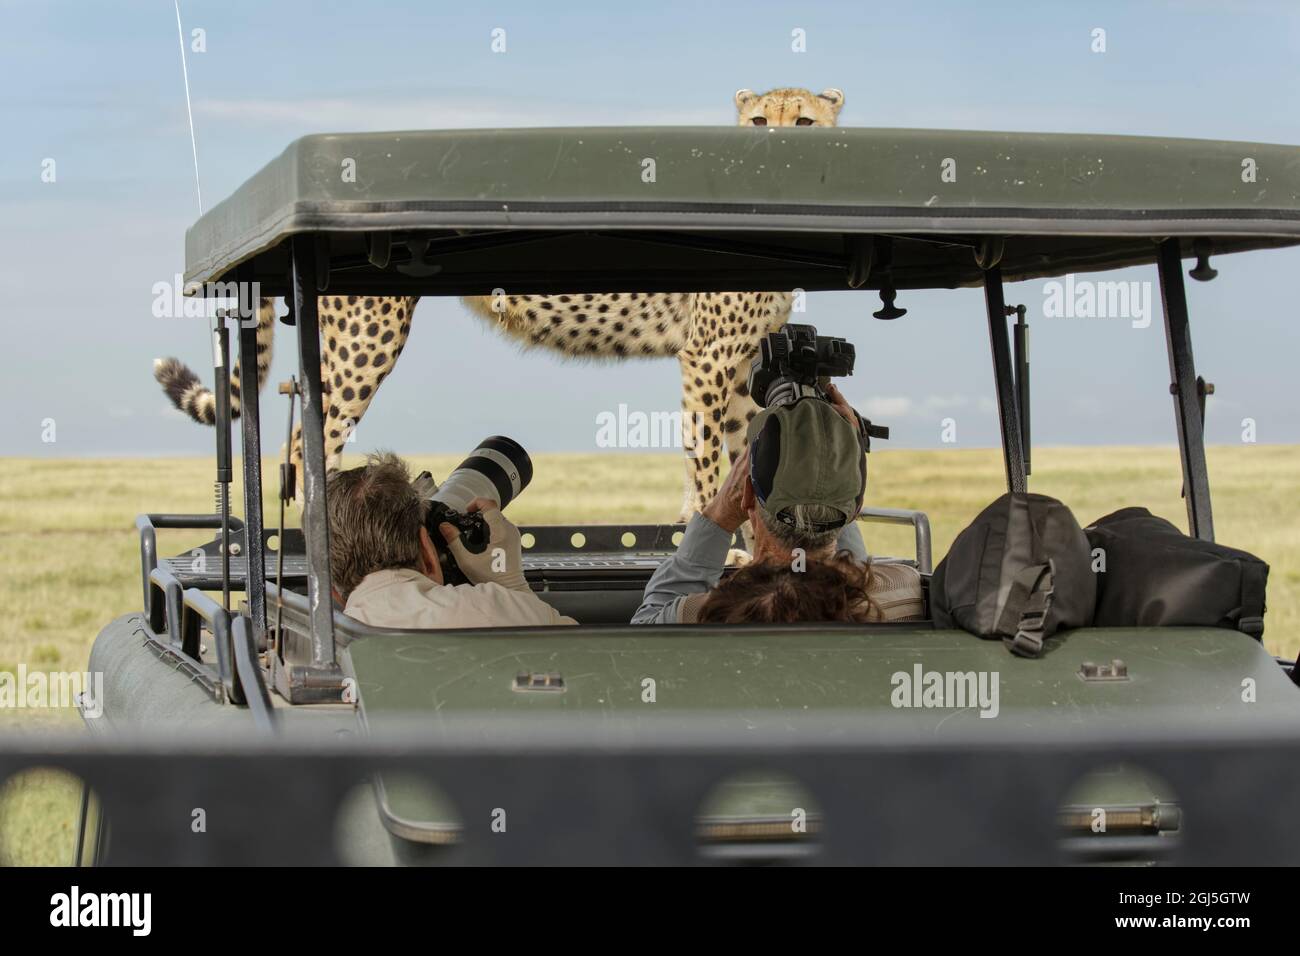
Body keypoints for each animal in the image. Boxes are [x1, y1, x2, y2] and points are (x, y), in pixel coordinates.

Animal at [154, 87, 846, 521]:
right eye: (759, 124)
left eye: (804, 123)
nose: (781, 154)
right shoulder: (706, 359)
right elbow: (705, 460)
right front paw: (709, 536)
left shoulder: (741, 366)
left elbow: (744, 452)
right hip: (365, 337)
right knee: (308, 443)